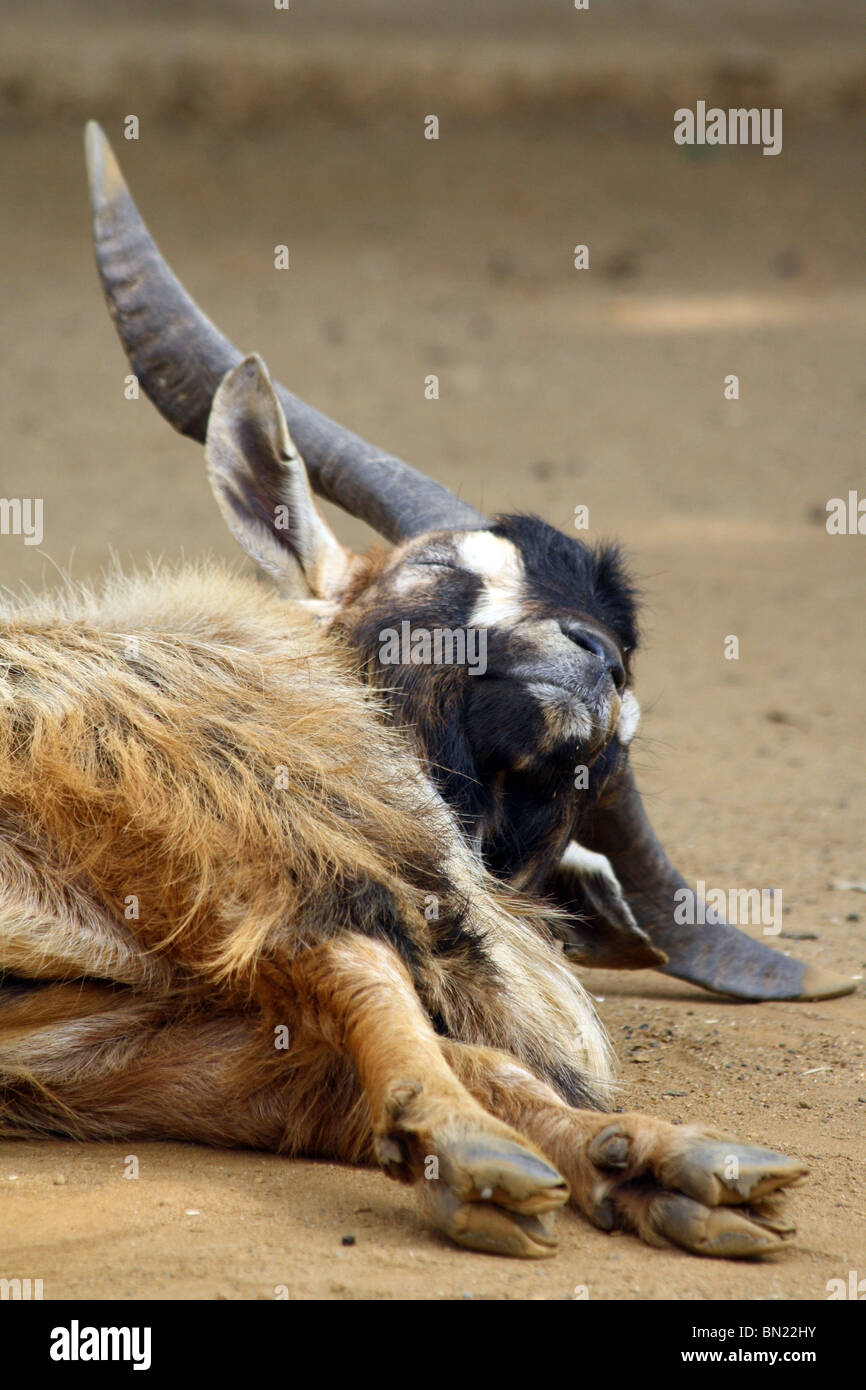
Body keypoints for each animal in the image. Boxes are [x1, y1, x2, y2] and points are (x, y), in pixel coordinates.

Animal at [0, 125, 850, 1260]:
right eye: (443, 566)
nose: (599, 661)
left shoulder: (117, 1039)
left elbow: (368, 1041)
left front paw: (647, 1163)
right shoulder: (224, 816)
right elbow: (366, 966)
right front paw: (480, 1154)